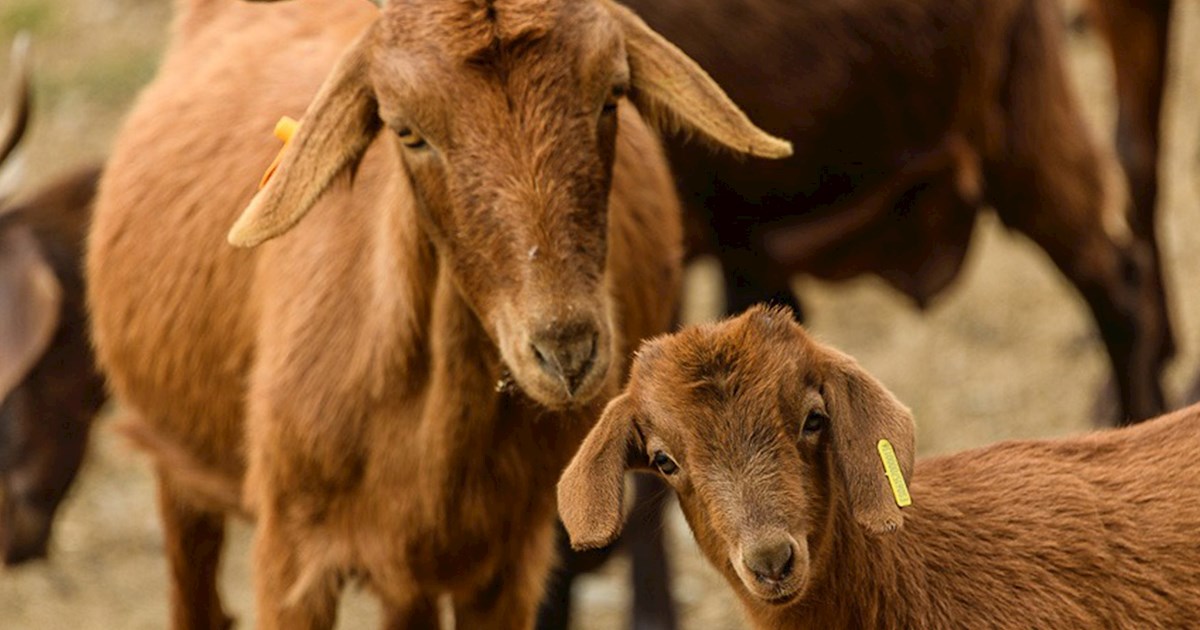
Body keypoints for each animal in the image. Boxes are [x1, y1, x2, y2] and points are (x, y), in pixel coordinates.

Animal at [86, 0, 788, 627]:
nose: (565, 351)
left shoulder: (508, 559)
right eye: (407, 131)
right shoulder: (291, 553)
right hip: (175, 459)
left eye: (611, 96)